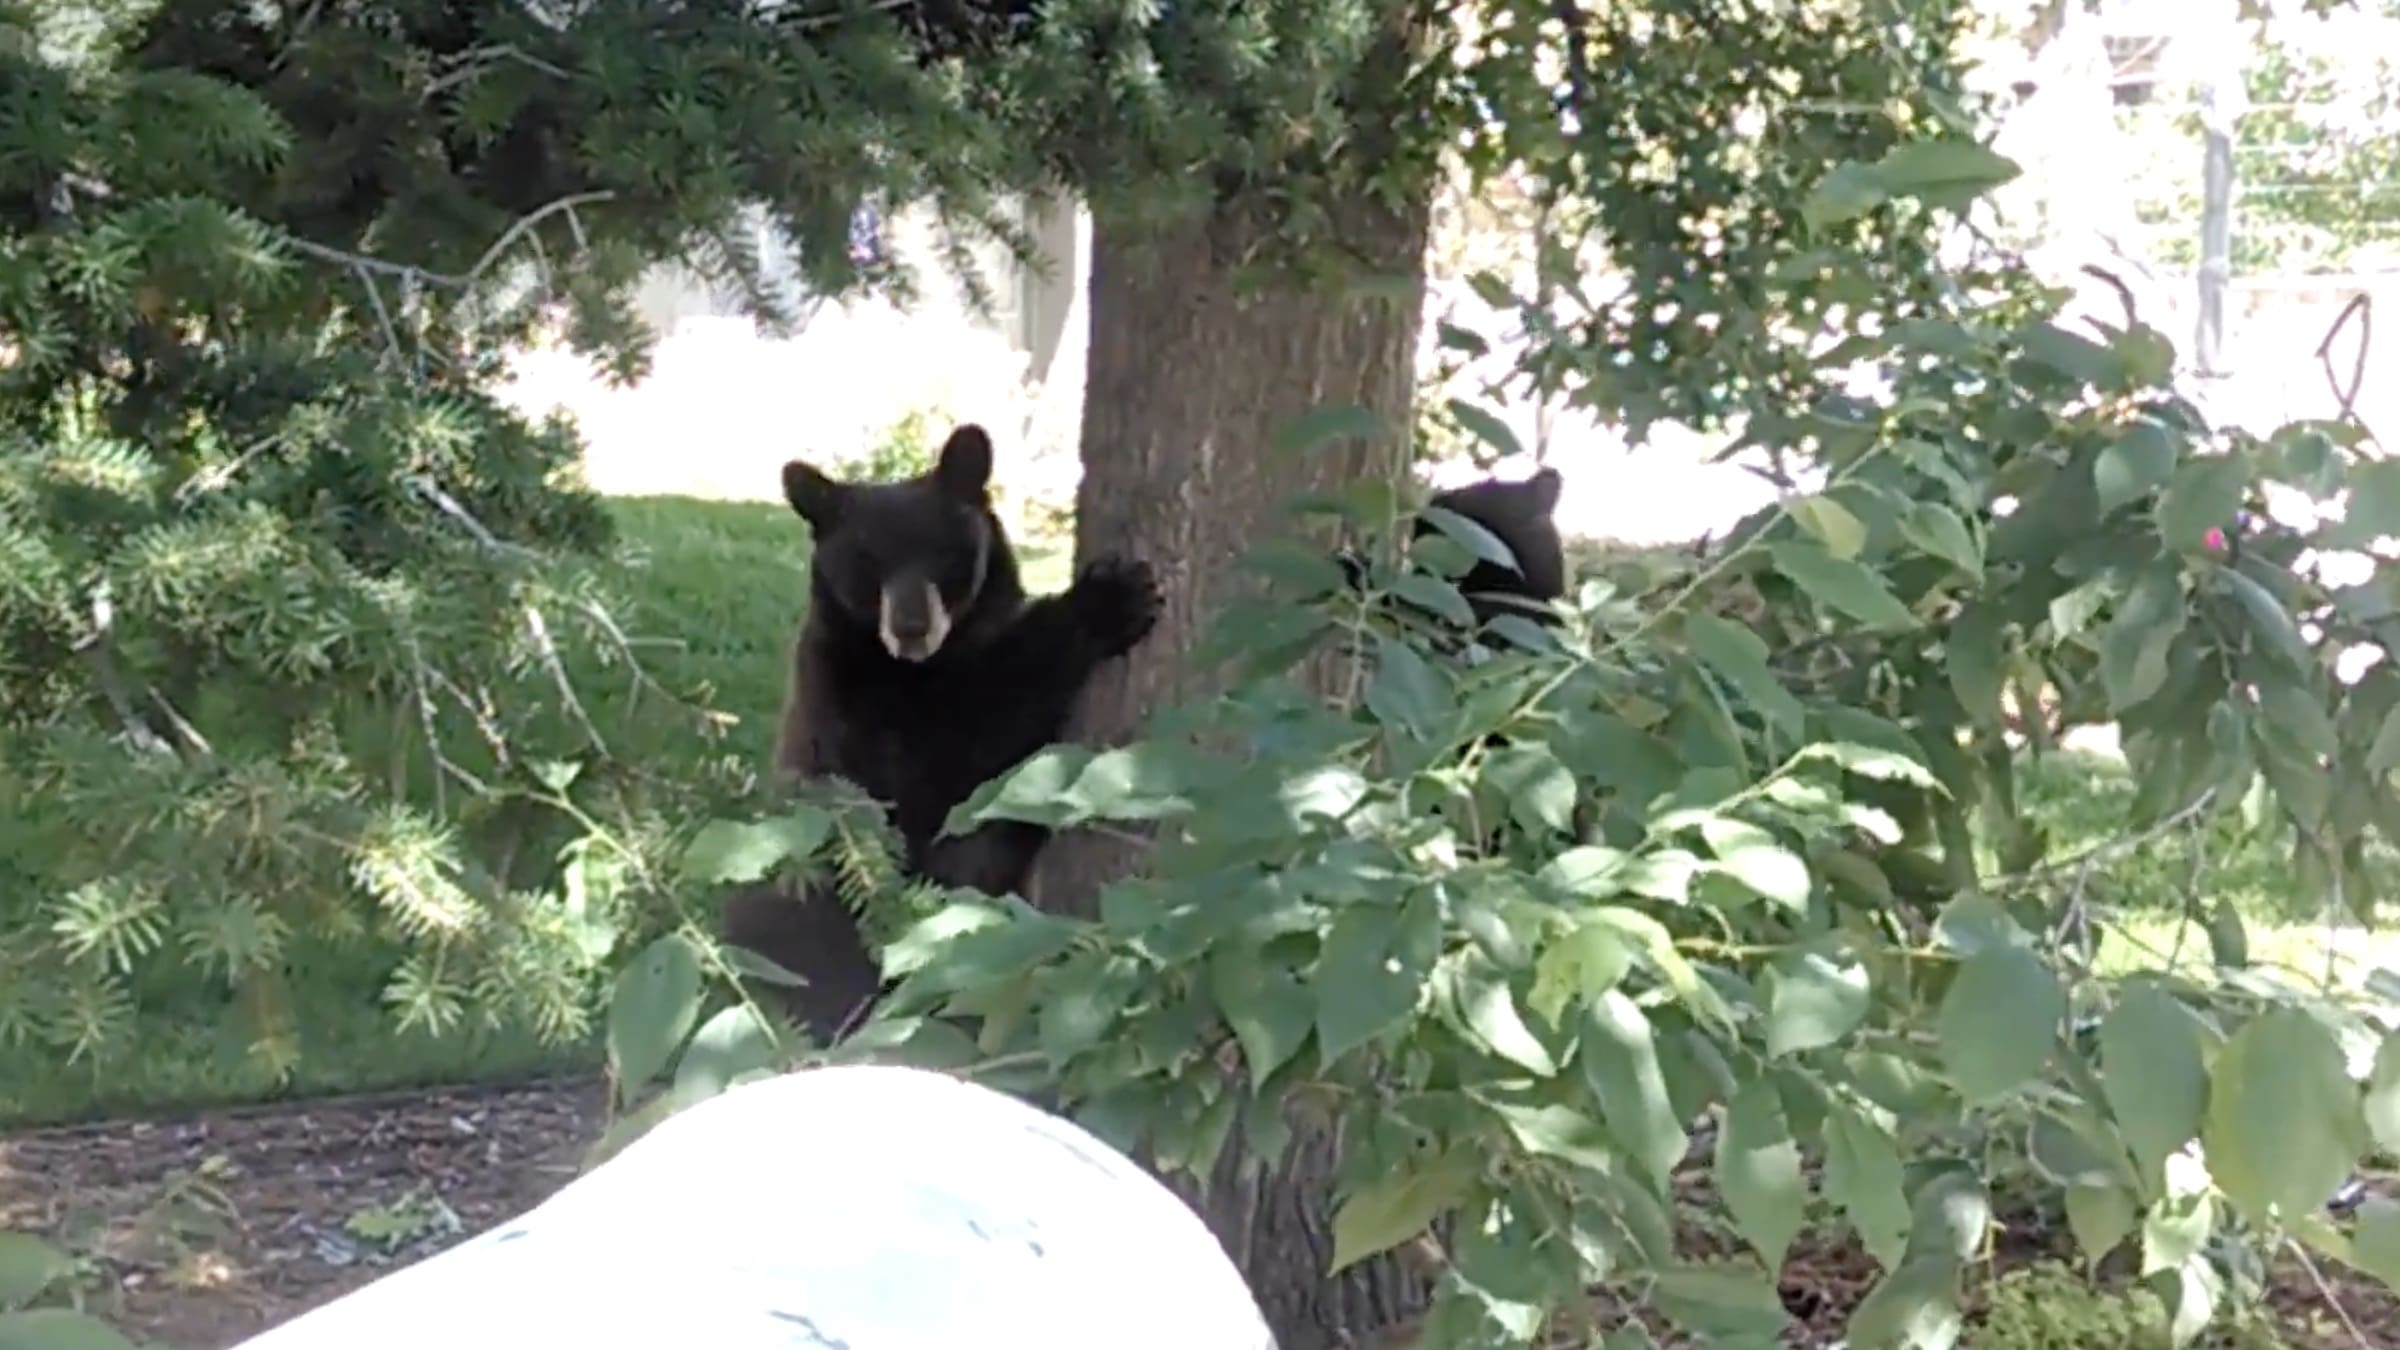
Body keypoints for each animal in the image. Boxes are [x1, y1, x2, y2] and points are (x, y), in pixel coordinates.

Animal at [720, 422, 1162, 1042]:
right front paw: (1108, 600)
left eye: (940, 551)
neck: (920, 663)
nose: (911, 626)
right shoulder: (857, 704)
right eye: (866, 560)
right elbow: (962, 745)